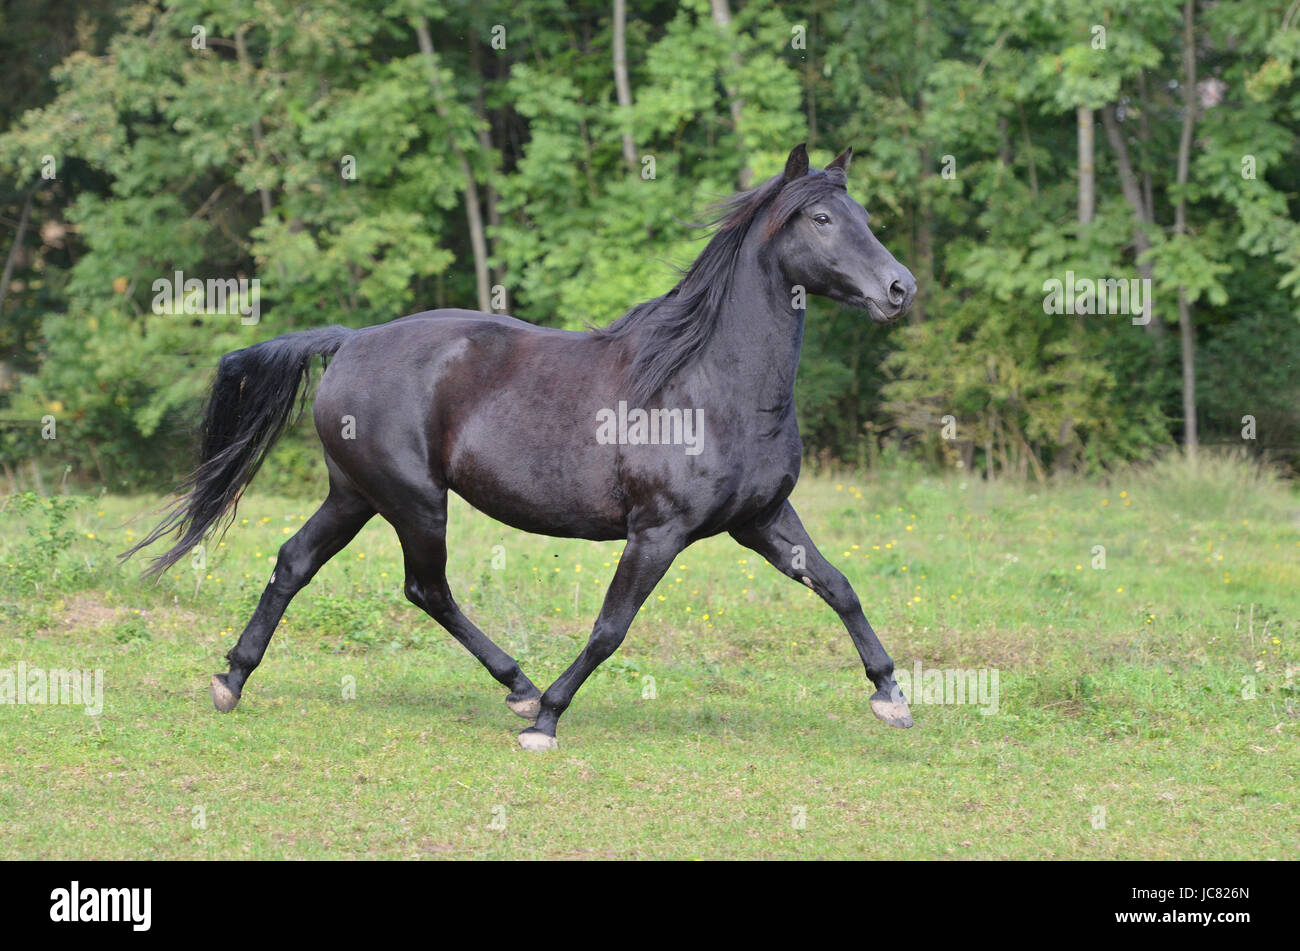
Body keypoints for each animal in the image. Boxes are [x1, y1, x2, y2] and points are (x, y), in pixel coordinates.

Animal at [126, 143, 918, 750]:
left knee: (295, 562)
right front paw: (547, 721)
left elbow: (840, 585)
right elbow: (609, 628)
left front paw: (891, 694)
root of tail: (350, 341)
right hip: (414, 501)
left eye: (865, 218)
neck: (713, 384)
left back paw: (231, 679)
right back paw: (522, 689)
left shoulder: (762, 520)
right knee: (426, 588)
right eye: (821, 219)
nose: (900, 288)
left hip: (355, 494)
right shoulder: (657, 531)